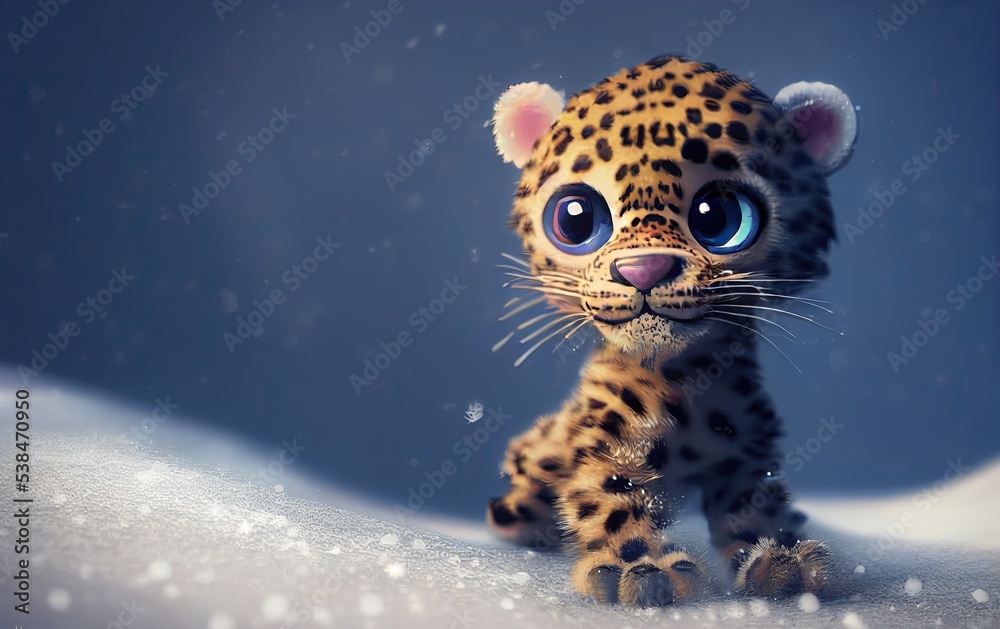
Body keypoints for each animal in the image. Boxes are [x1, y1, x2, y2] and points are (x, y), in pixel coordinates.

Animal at [485, 54, 858, 606]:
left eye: (718, 216)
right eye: (575, 220)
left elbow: (757, 507)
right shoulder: (602, 449)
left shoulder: (748, 460)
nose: (643, 270)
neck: (687, 377)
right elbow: (608, 498)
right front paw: (640, 567)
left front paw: (782, 559)